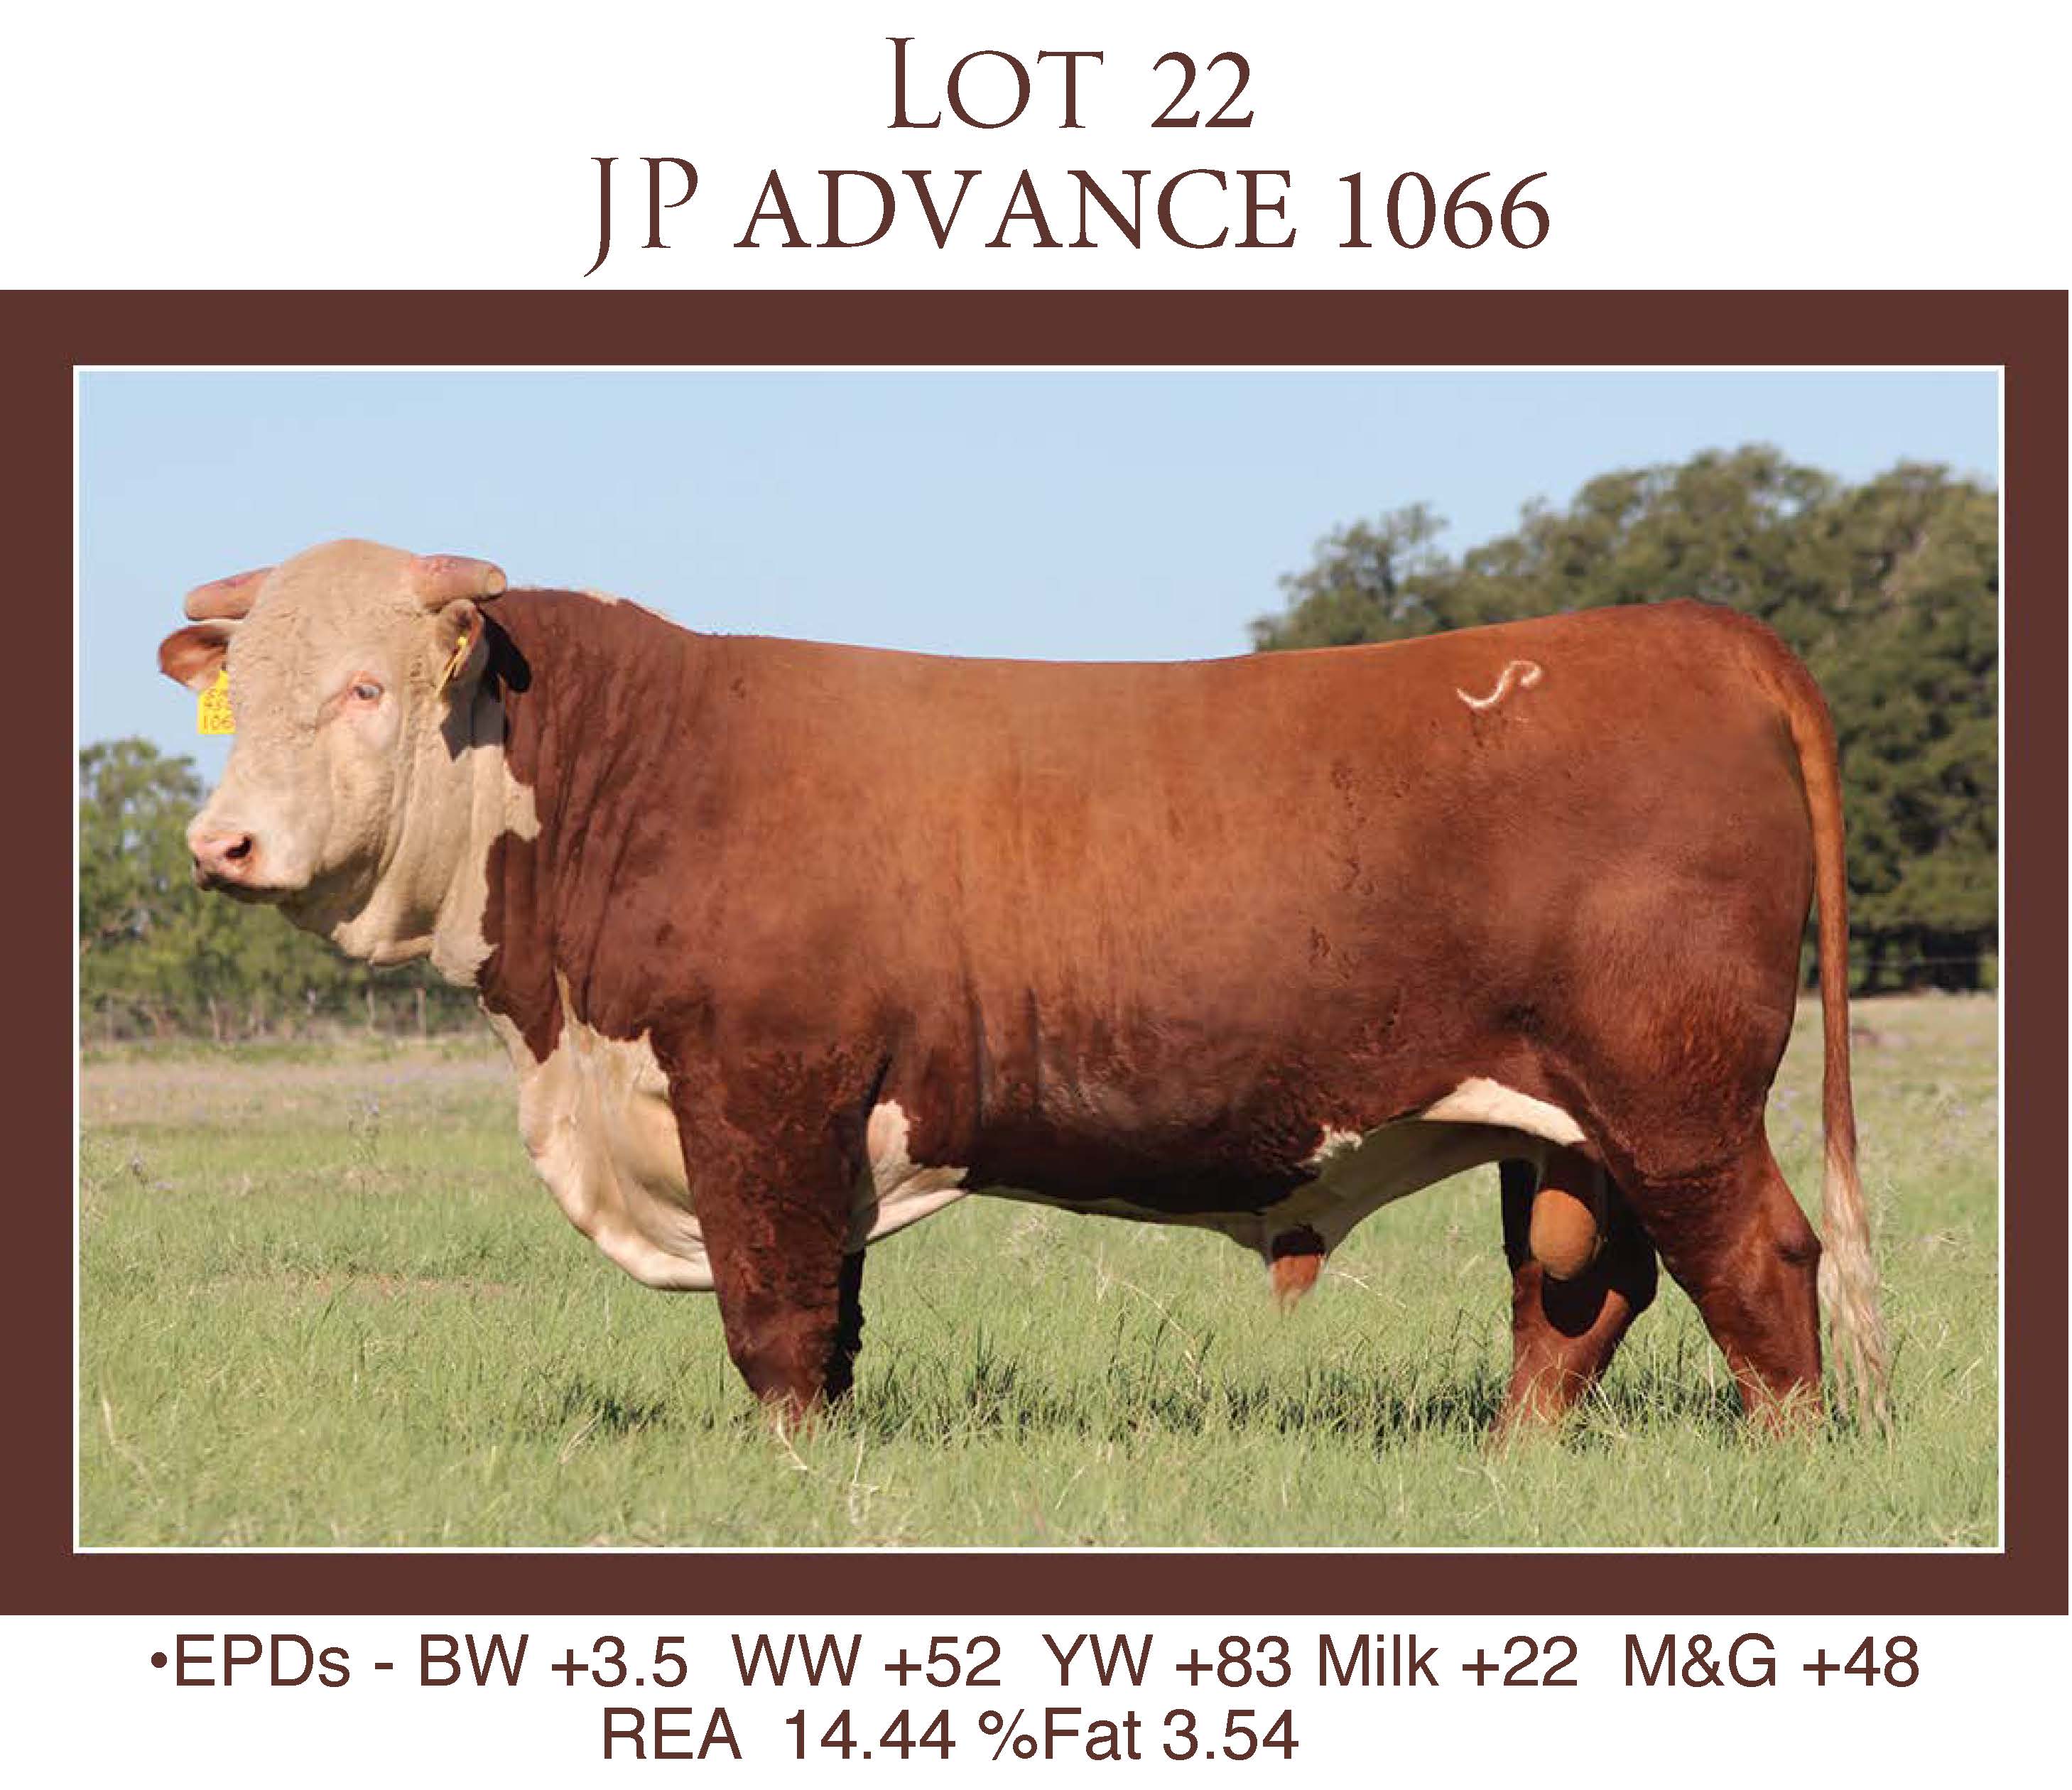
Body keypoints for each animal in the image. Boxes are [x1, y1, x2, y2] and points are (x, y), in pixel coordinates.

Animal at [156, 538, 1891, 1436]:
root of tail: (1691, 627)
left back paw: (1784, 1459)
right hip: (1567, 1112)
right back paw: (1510, 1465)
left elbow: (777, 1322)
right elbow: (831, 1325)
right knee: (1576, 1291)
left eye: (366, 687)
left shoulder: (760, 1096)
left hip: (1675, 1088)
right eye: (246, 694)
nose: (218, 841)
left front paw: (790, 1480)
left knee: (1760, 1265)